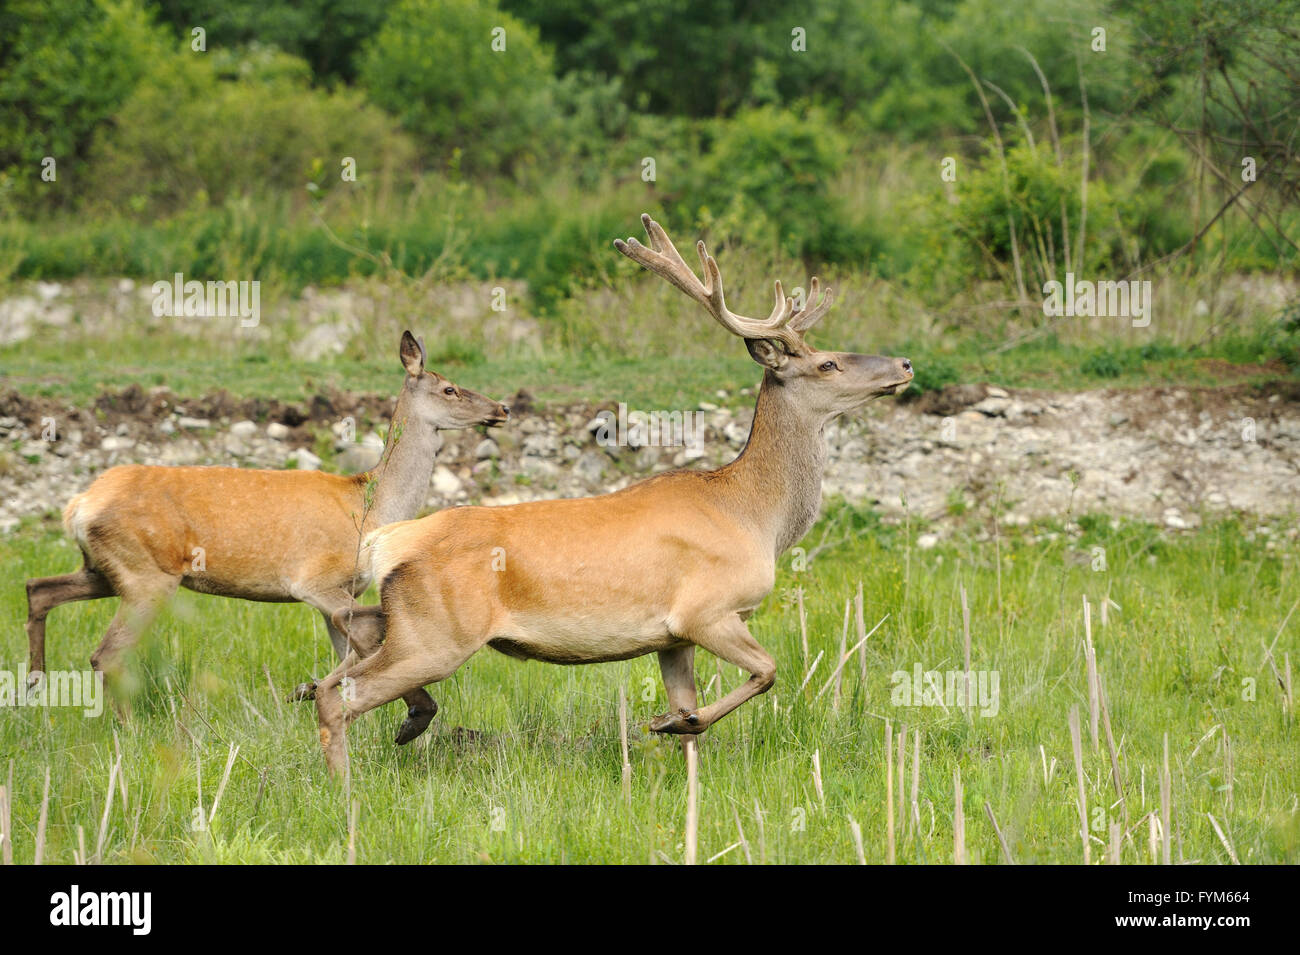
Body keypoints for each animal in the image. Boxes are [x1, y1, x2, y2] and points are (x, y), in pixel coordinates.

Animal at [24, 330, 509, 741]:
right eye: (450, 388)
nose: (503, 408)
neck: (370, 510)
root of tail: (79, 505)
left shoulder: (342, 590)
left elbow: (349, 651)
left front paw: (329, 702)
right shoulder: (314, 580)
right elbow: (369, 642)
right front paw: (409, 717)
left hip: (106, 568)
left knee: (38, 588)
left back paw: (34, 693)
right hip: (146, 573)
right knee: (105, 652)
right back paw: (128, 730)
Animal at [310, 215, 912, 775]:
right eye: (827, 363)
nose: (905, 363)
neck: (754, 514)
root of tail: (389, 538)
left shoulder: (672, 638)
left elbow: (695, 719)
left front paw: (684, 750)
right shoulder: (707, 609)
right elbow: (767, 671)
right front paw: (670, 722)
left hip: (410, 620)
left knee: (345, 646)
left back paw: (405, 720)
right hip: (438, 632)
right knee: (338, 696)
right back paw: (348, 786)